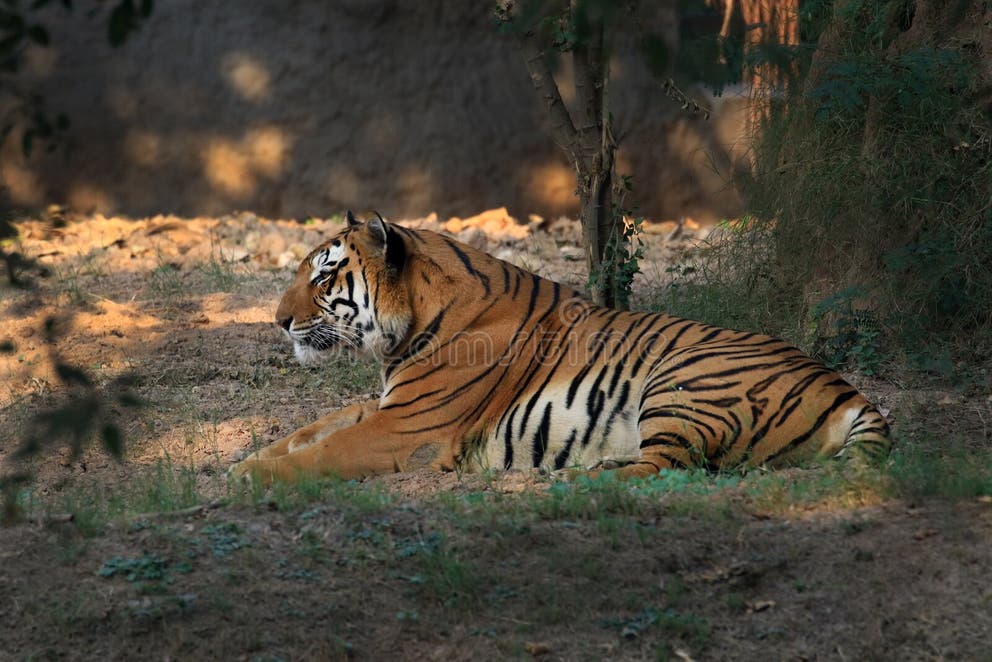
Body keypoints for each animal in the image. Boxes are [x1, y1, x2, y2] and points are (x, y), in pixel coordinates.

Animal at [229, 211, 891, 485]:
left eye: (323, 276)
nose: (278, 322)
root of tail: (849, 392)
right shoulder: (384, 405)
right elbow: (309, 431)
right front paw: (242, 461)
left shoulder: (405, 427)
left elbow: (324, 450)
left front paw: (248, 478)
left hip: (685, 382)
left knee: (667, 467)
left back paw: (579, 477)